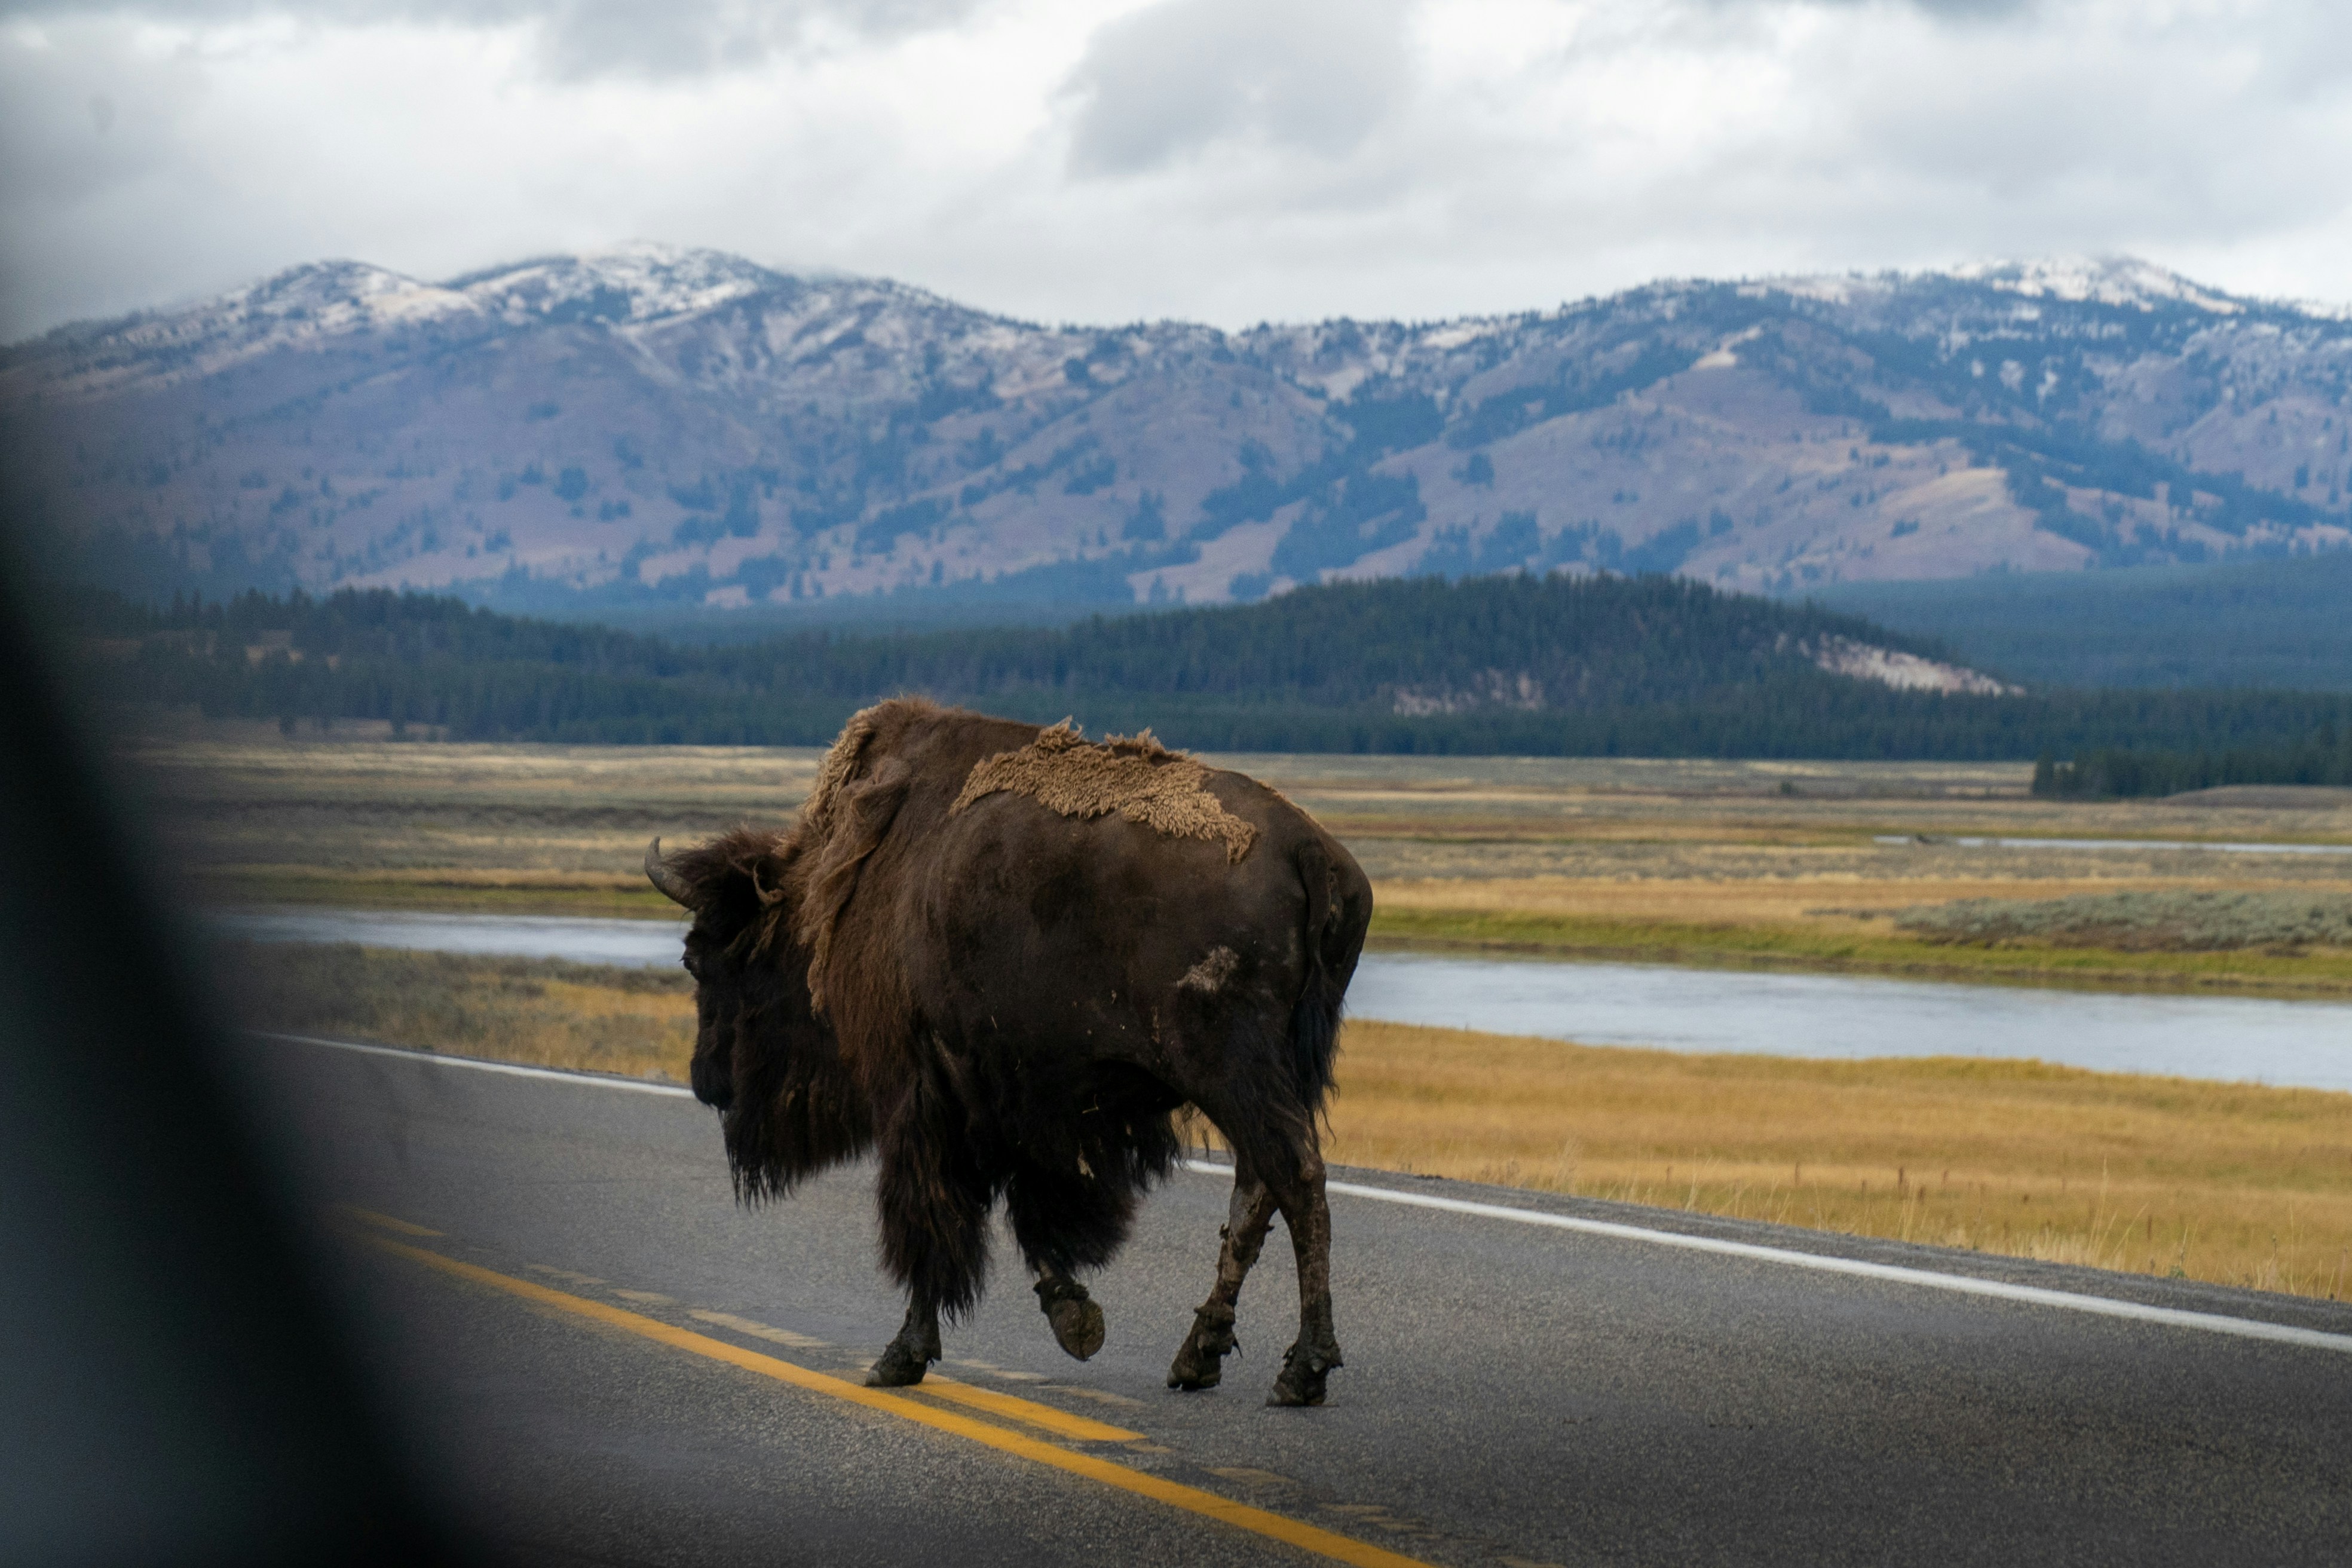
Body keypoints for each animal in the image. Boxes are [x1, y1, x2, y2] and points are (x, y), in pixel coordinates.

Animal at [645, 699, 1372, 1405]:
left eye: (702, 960)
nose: (706, 1079)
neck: (840, 885)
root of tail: (1310, 850)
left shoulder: (918, 1090)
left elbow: (933, 1218)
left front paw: (901, 1356)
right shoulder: (1010, 1102)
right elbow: (1022, 1206)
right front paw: (1076, 1318)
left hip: (1230, 1071)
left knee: (1296, 1179)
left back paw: (1303, 1370)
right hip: (1276, 1075)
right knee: (1258, 1193)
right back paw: (1197, 1357)